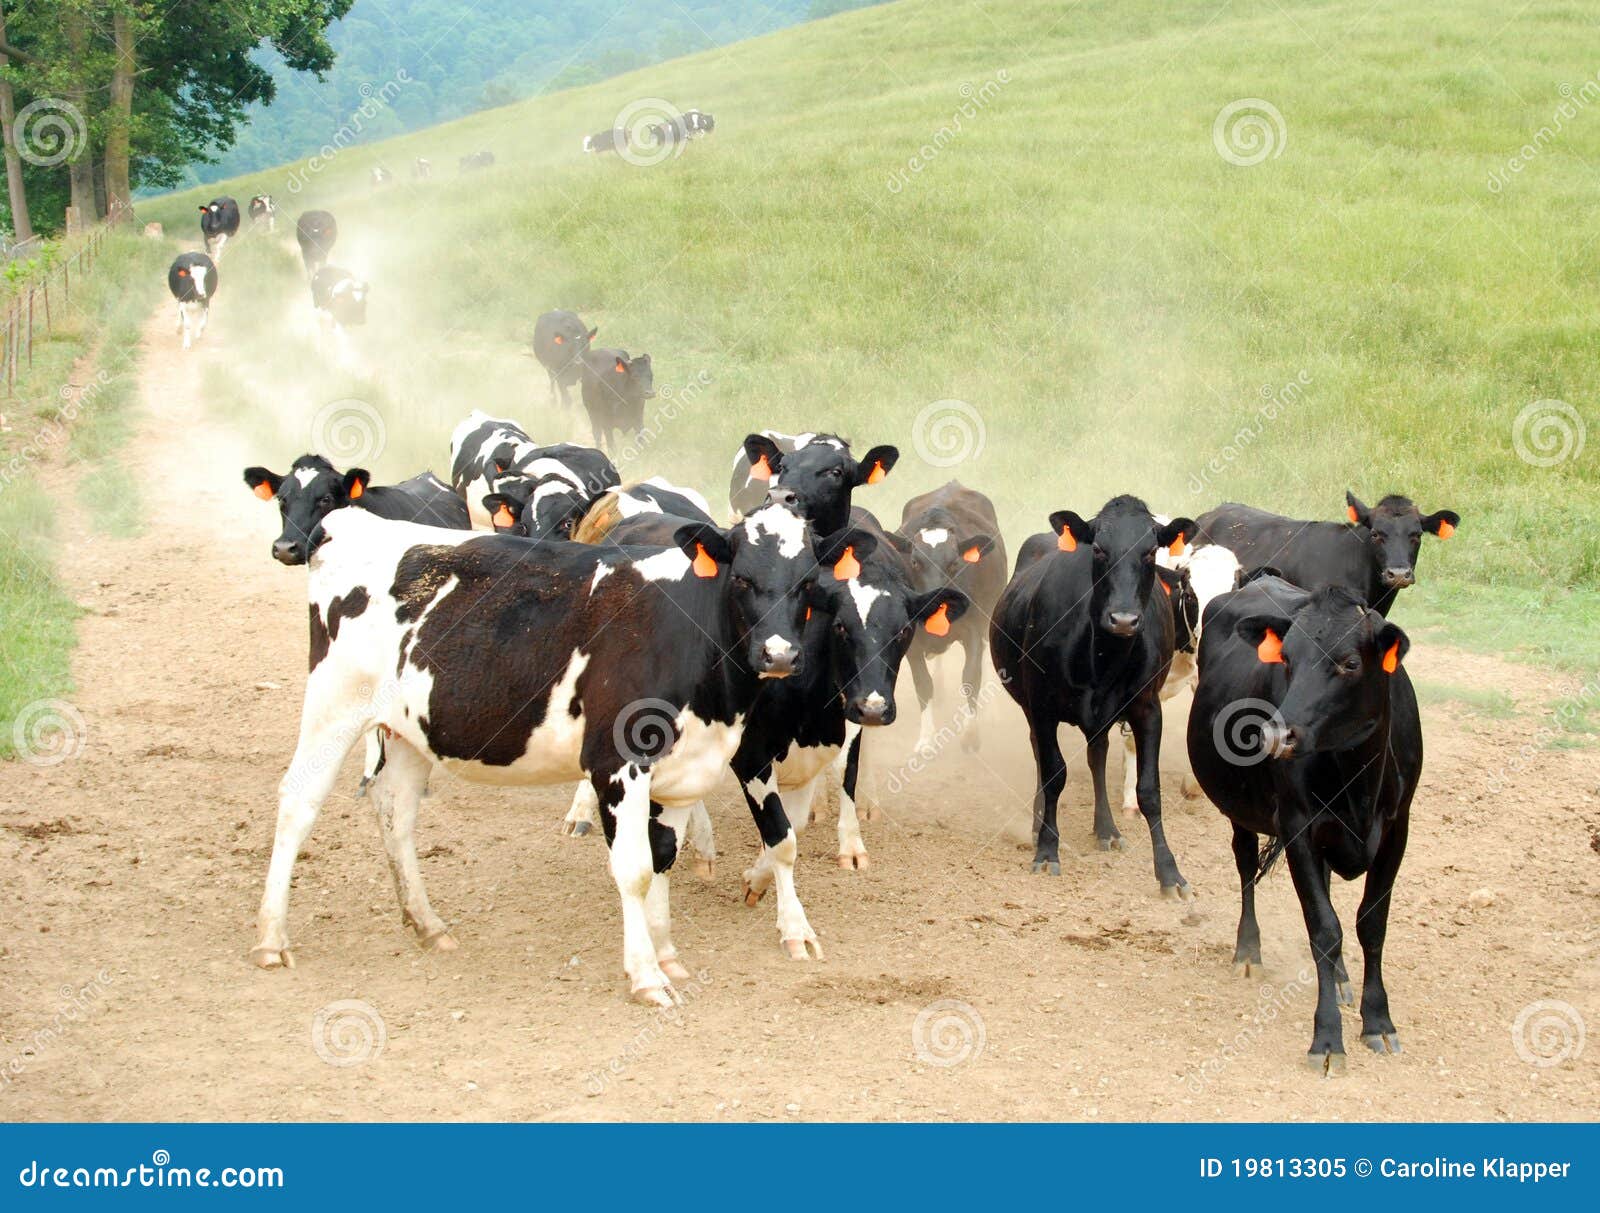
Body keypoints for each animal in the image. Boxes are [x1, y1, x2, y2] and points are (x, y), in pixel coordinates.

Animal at [250, 500, 840, 1005]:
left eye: (809, 583)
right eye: (741, 578)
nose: (779, 655)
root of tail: (350, 522)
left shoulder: (685, 767)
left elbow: (663, 857)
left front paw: (666, 953)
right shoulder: (617, 764)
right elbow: (635, 869)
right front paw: (646, 976)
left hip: (409, 727)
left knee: (396, 813)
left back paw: (427, 924)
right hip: (333, 705)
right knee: (298, 802)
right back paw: (272, 938)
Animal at [891, 481, 1006, 753]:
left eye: (954, 563)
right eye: (914, 562)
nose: (935, 602)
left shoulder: (973, 630)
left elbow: (971, 677)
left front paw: (971, 734)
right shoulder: (913, 639)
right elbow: (923, 684)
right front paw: (926, 738)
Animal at [990, 496, 1195, 892]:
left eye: (1150, 552)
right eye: (1099, 550)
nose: (1124, 620)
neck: (1102, 656)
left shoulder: (1148, 707)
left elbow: (1150, 790)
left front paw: (1169, 871)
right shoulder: (1041, 707)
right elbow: (1054, 773)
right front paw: (1047, 849)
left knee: (1096, 755)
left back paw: (1107, 829)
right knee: (1041, 756)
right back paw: (1038, 824)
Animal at [1186, 575, 1420, 1071]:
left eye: (1350, 663)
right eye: (1288, 659)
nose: (1277, 734)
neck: (1357, 777)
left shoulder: (1397, 828)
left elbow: (1371, 923)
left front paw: (1378, 1021)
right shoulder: (1297, 827)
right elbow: (1324, 929)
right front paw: (1327, 1038)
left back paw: (1343, 979)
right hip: (1240, 809)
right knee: (1245, 865)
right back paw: (1248, 950)